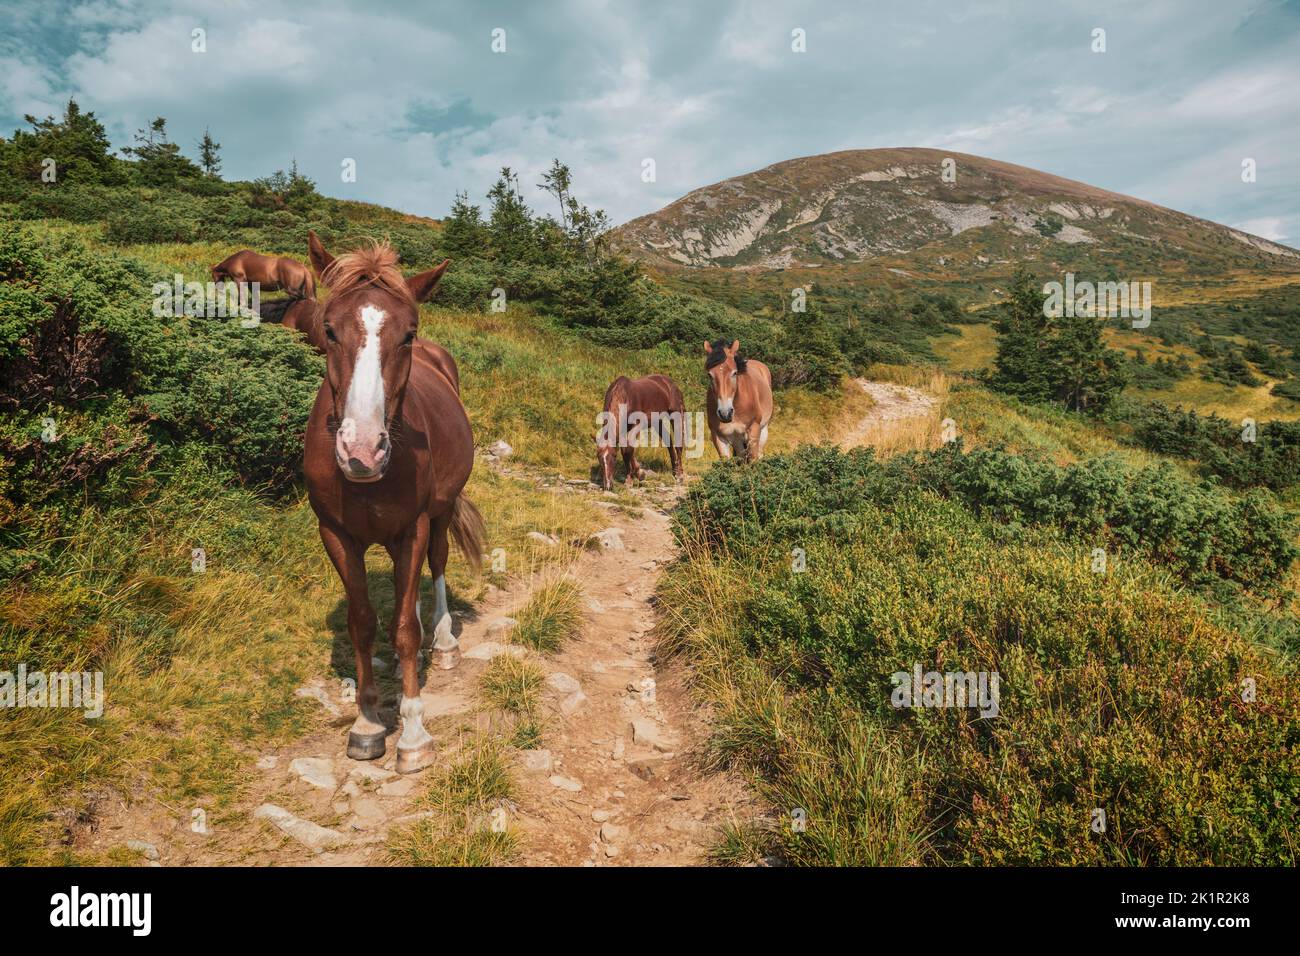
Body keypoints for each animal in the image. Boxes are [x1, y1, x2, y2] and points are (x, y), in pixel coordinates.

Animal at [303, 231, 485, 775]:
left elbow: (403, 628)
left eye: (407, 333)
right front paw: (366, 724)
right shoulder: (335, 534)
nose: (362, 450)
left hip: (440, 514)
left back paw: (442, 641)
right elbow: (362, 623)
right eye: (328, 329)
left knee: (438, 564)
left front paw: (414, 735)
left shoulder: (414, 527)